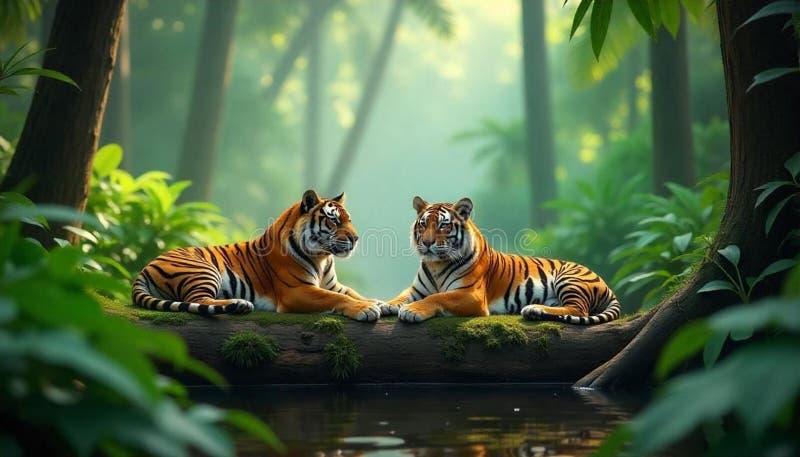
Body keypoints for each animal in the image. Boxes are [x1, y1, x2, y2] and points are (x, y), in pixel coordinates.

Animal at [132, 190, 383, 321]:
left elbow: (352, 293)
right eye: (334, 220)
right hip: (204, 270)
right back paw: (239, 303)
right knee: (197, 300)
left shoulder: (333, 285)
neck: (322, 257)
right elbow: (335, 298)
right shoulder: (297, 291)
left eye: (348, 219)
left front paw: (377, 302)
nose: (356, 238)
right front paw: (366, 309)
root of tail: (145, 267)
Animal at [380, 196, 621, 325]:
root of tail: (606, 284)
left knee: (578, 310)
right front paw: (385, 305)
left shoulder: (471, 295)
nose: (427, 242)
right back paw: (534, 310)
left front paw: (412, 311)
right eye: (423, 224)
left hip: (569, 278)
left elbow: (438, 297)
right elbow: (401, 297)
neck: (436, 264)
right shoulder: (417, 290)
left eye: (443, 225)